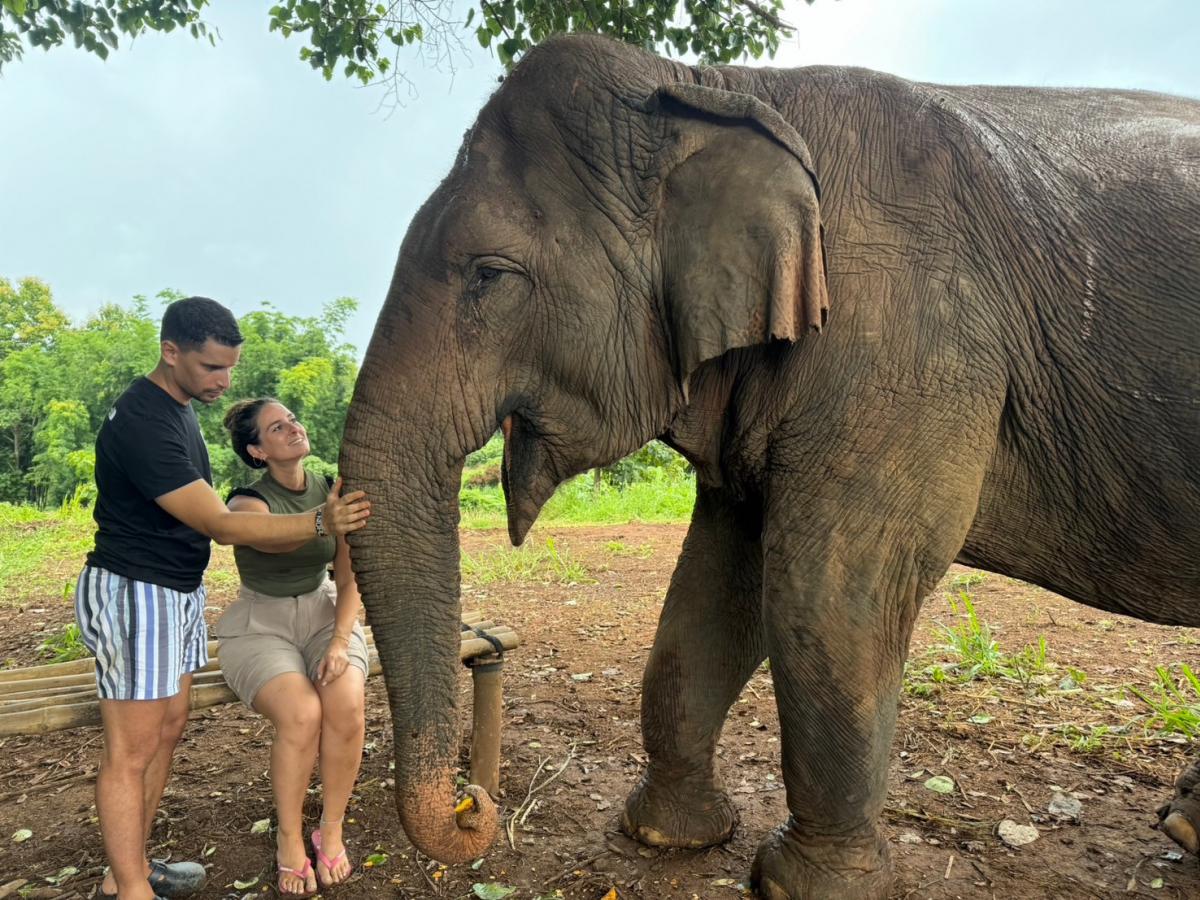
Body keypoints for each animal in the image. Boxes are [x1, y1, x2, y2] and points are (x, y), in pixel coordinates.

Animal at [340, 34, 1200, 899]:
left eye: (489, 274)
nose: (474, 804)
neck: (715, 87)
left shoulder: (912, 341)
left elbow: (829, 591)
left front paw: (809, 885)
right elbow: (720, 579)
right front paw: (669, 835)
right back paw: (1185, 826)